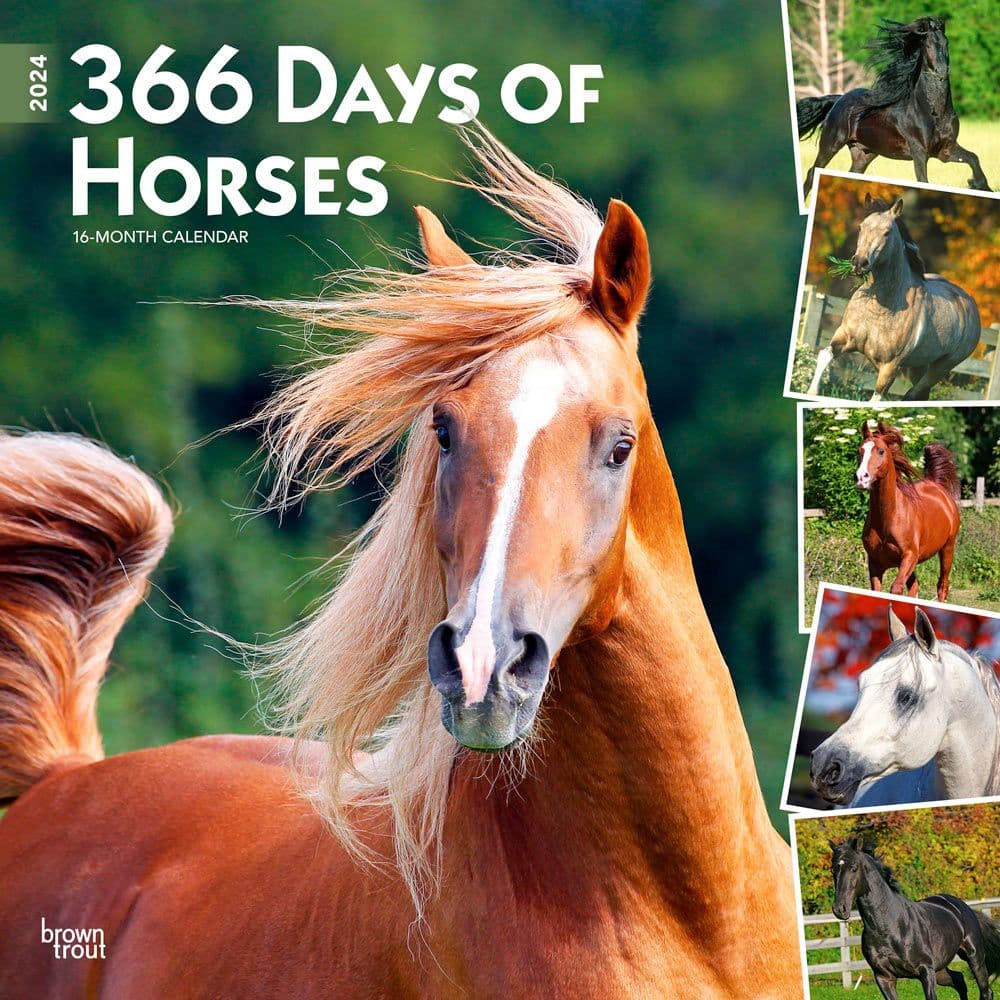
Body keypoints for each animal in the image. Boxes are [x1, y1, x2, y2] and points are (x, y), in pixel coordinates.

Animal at [798, 17, 992, 199]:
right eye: (928, 45)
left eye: (946, 43)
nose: (942, 71)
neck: (934, 113)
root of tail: (839, 99)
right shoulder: (919, 151)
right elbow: (923, 180)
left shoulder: (946, 149)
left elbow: (973, 158)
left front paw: (979, 185)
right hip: (831, 144)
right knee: (812, 172)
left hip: (864, 153)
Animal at [807, 195, 981, 401]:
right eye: (861, 227)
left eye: (887, 232)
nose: (859, 263)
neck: (880, 308)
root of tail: (970, 305)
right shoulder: (845, 336)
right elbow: (825, 354)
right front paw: (811, 392)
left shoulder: (891, 365)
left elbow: (878, 395)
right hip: (918, 365)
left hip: (941, 367)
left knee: (913, 394)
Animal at [830, 834, 1000, 999]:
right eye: (833, 870)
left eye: (853, 868)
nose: (840, 909)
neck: (889, 928)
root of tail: (962, 906)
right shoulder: (884, 977)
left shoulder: (926, 971)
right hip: (940, 969)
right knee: (959, 980)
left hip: (974, 958)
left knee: (986, 991)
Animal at [854, 419, 961, 602]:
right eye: (860, 451)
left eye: (881, 451)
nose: (861, 477)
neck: (888, 519)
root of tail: (936, 485)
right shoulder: (875, 563)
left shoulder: (909, 557)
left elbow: (896, 589)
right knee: (915, 585)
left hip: (948, 548)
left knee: (942, 586)